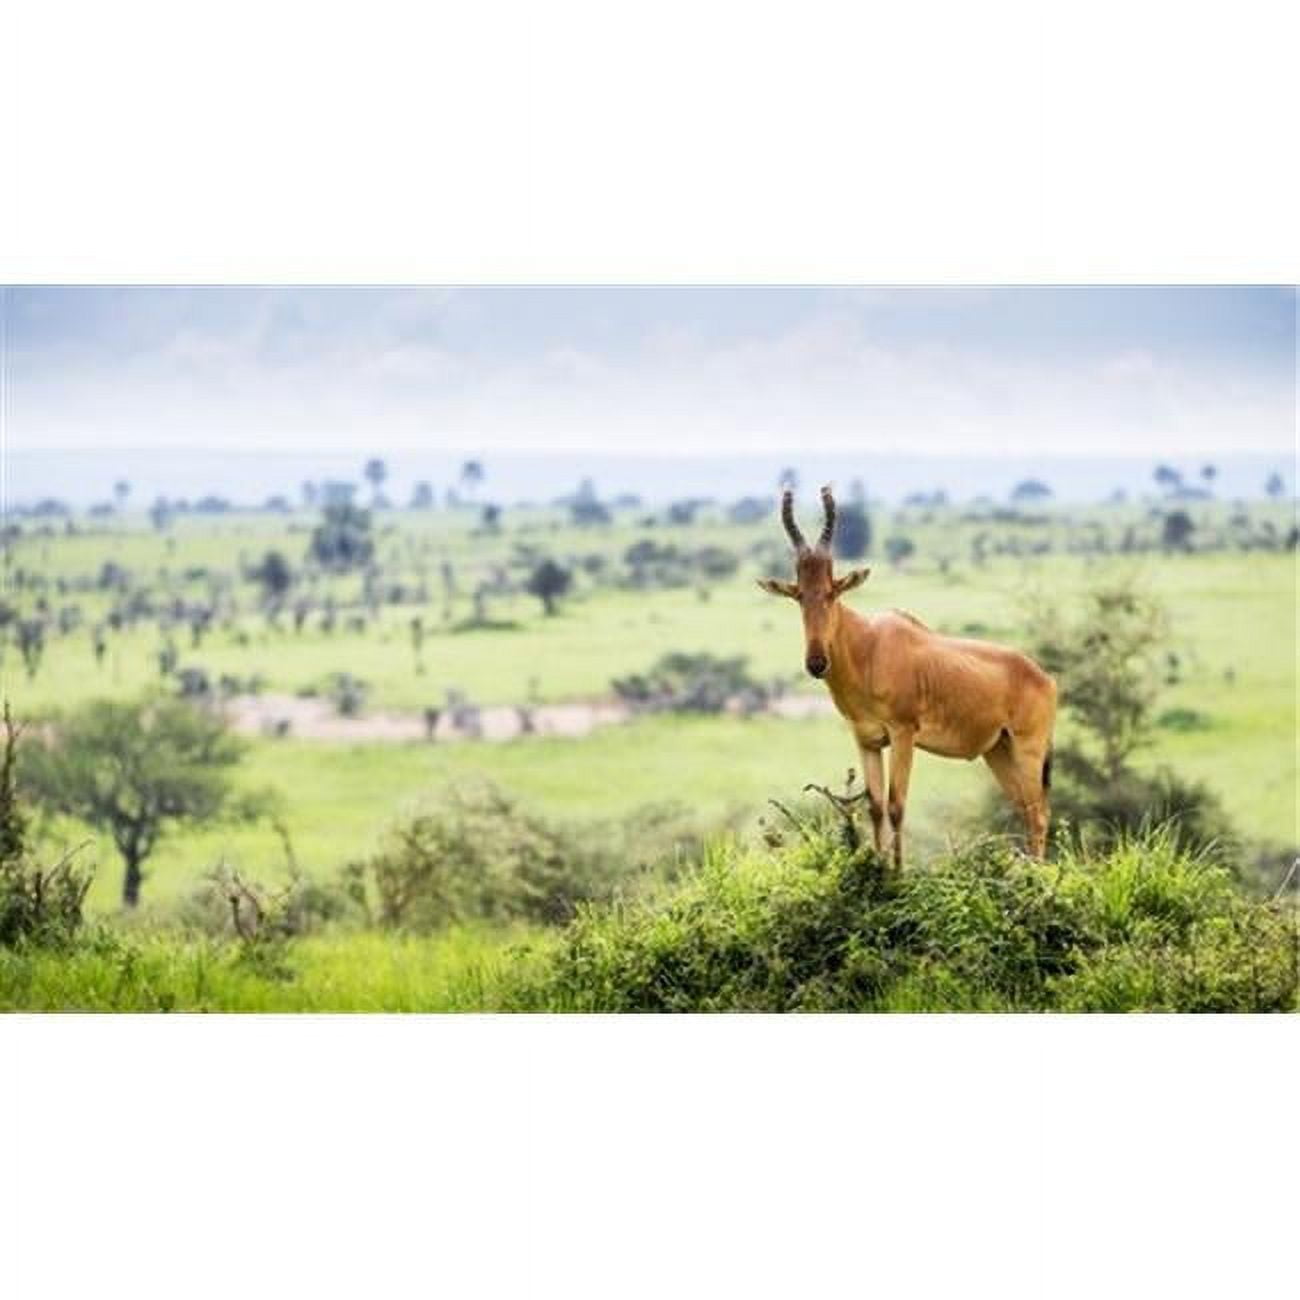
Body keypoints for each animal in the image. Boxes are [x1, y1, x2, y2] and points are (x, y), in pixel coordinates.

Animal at [758, 486, 1057, 864]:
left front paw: (898, 872)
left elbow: (896, 805)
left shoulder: (903, 734)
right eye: (798, 595)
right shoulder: (867, 740)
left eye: (832, 592)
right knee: (1024, 808)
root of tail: (1045, 678)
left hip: (1029, 747)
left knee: (1039, 812)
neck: (869, 646)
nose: (816, 663)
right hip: (998, 750)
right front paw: (879, 867)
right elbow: (875, 807)